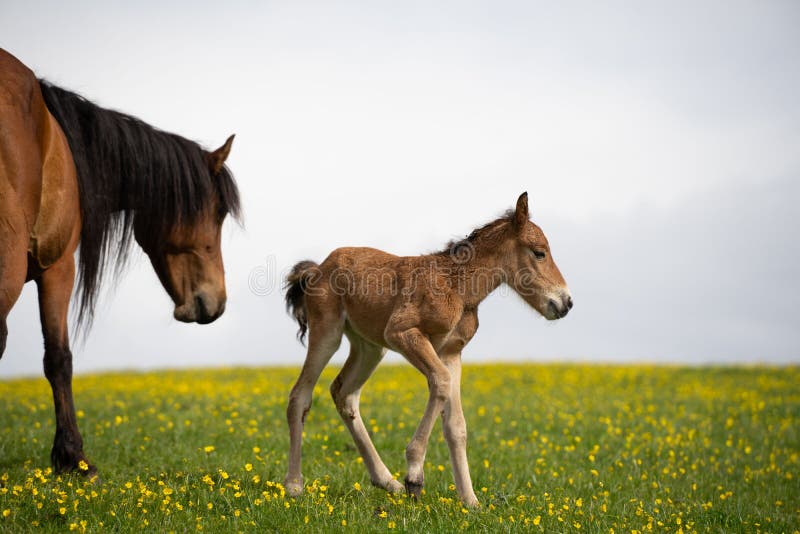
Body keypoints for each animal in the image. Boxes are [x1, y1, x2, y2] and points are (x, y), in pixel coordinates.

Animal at [283, 192, 572, 507]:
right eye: (539, 252)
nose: (565, 302)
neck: (458, 288)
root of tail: (317, 268)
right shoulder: (402, 333)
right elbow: (440, 383)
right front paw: (414, 477)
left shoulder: (451, 353)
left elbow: (456, 426)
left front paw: (470, 501)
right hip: (329, 333)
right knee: (300, 395)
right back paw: (294, 485)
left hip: (370, 347)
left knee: (343, 394)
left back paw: (387, 481)